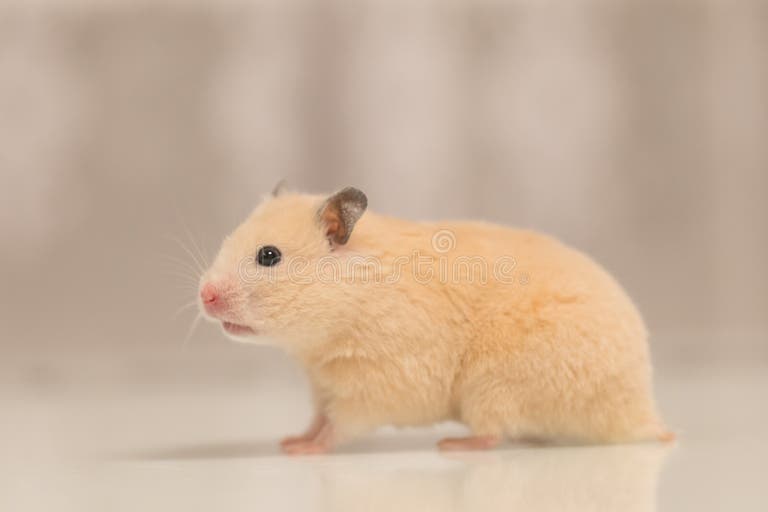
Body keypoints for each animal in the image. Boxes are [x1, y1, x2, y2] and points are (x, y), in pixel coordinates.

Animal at [199, 186, 672, 454]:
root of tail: (639, 411)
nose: (204, 296)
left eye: (268, 256)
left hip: (494, 387)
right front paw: (292, 441)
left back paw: (454, 444)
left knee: (493, 433)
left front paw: (305, 452)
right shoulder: (323, 385)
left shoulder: (375, 384)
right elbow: (317, 418)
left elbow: (340, 426)